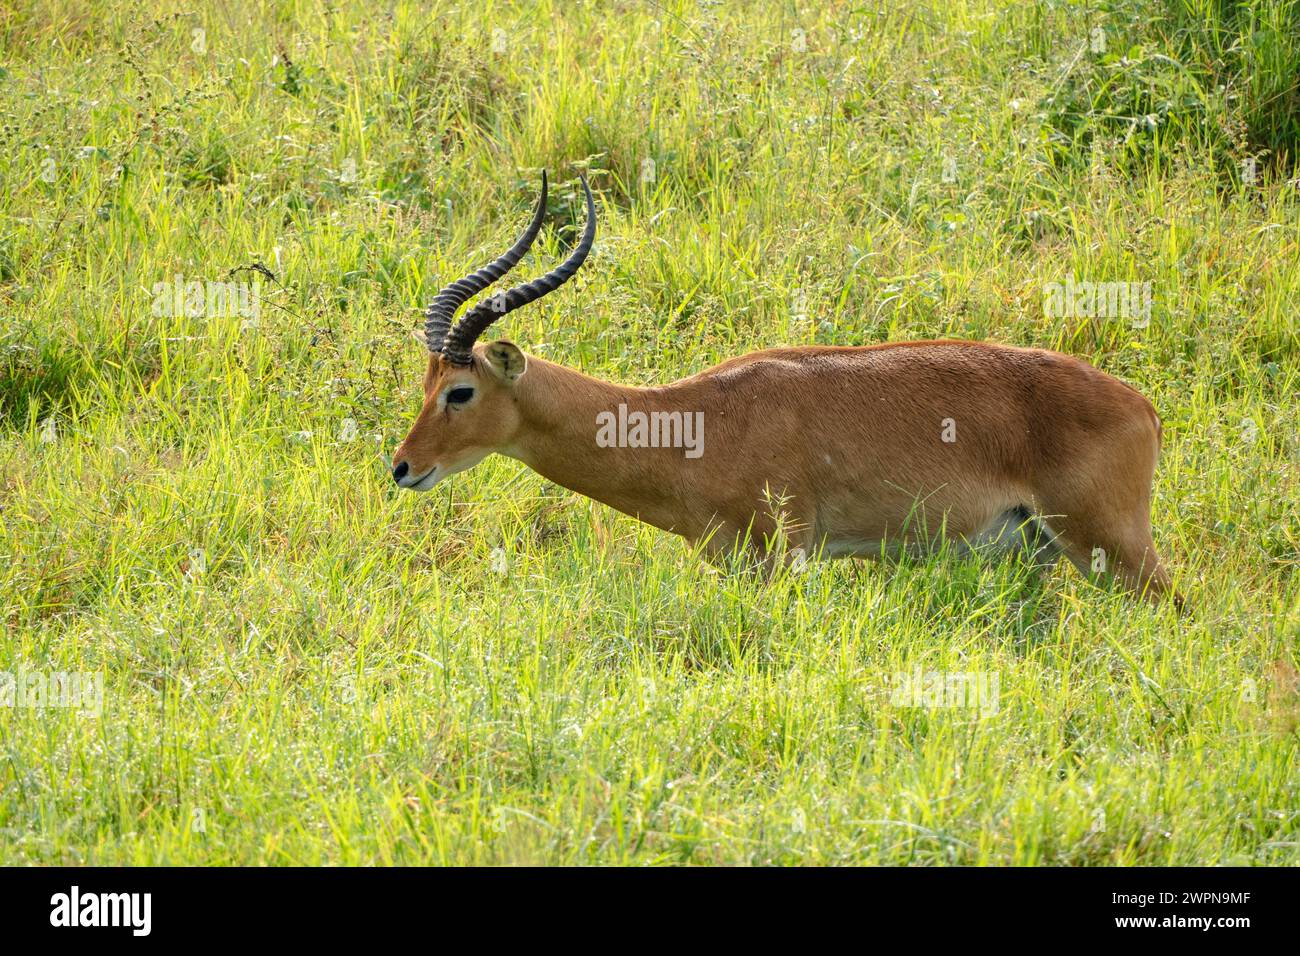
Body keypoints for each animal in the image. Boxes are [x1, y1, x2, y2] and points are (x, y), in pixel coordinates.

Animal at [392, 171, 1180, 607]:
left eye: (459, 390)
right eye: (425, 379)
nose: (402, 466)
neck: (686, 421)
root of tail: (1141, 405)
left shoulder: (780, 558)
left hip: (1111, 546)